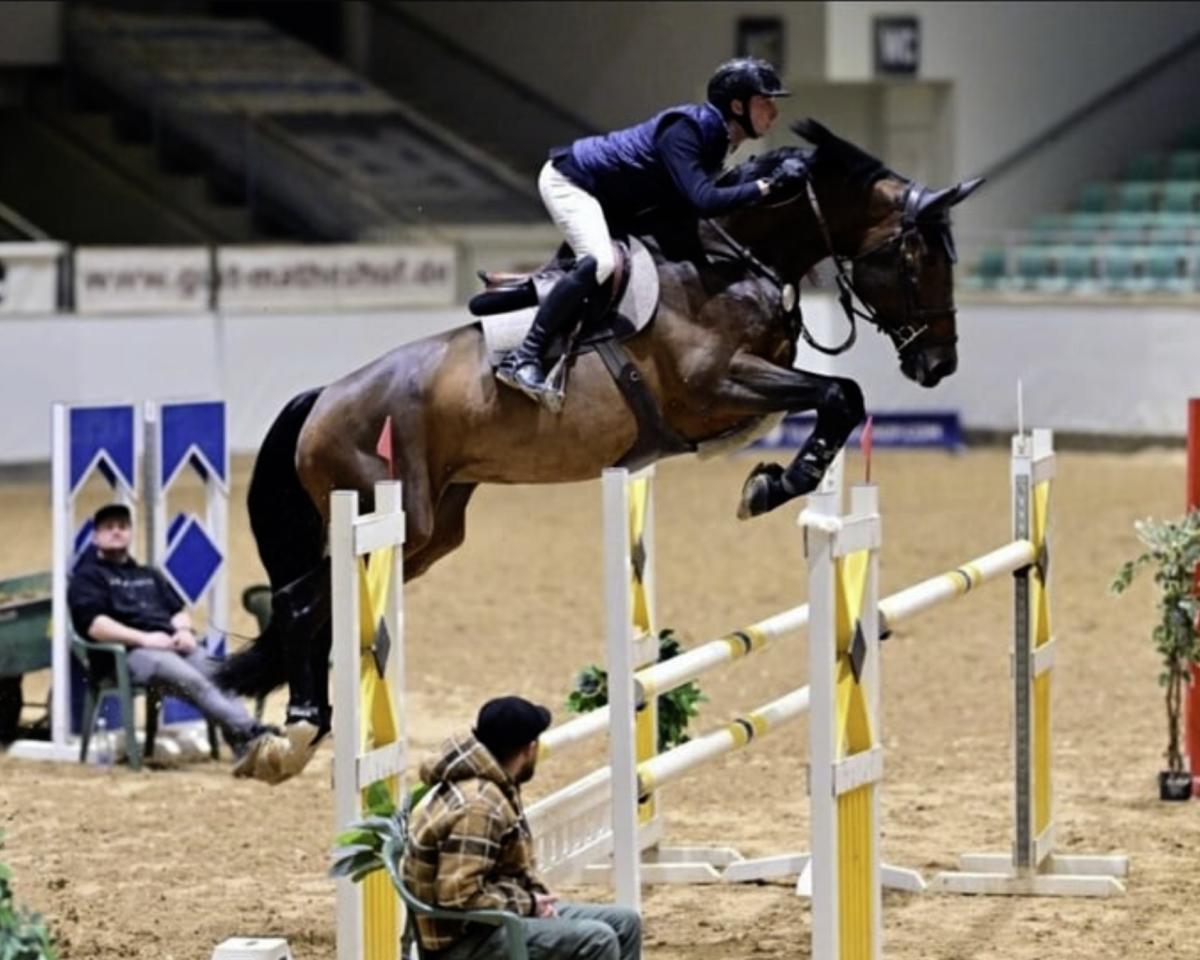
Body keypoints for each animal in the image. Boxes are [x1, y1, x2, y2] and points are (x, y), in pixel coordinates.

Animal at [221, 119, 983, 783]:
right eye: (917, 258)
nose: (939, 365)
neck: (734, 262)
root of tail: (322, 399)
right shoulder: (715, 385)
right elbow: (841, 394)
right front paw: (774, 483)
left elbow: (832, 399)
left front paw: (774, 478)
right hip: (389, 510)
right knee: (301, 603)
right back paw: (296, 733)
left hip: (432, 533)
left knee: (326, 606)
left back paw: (302, 730)